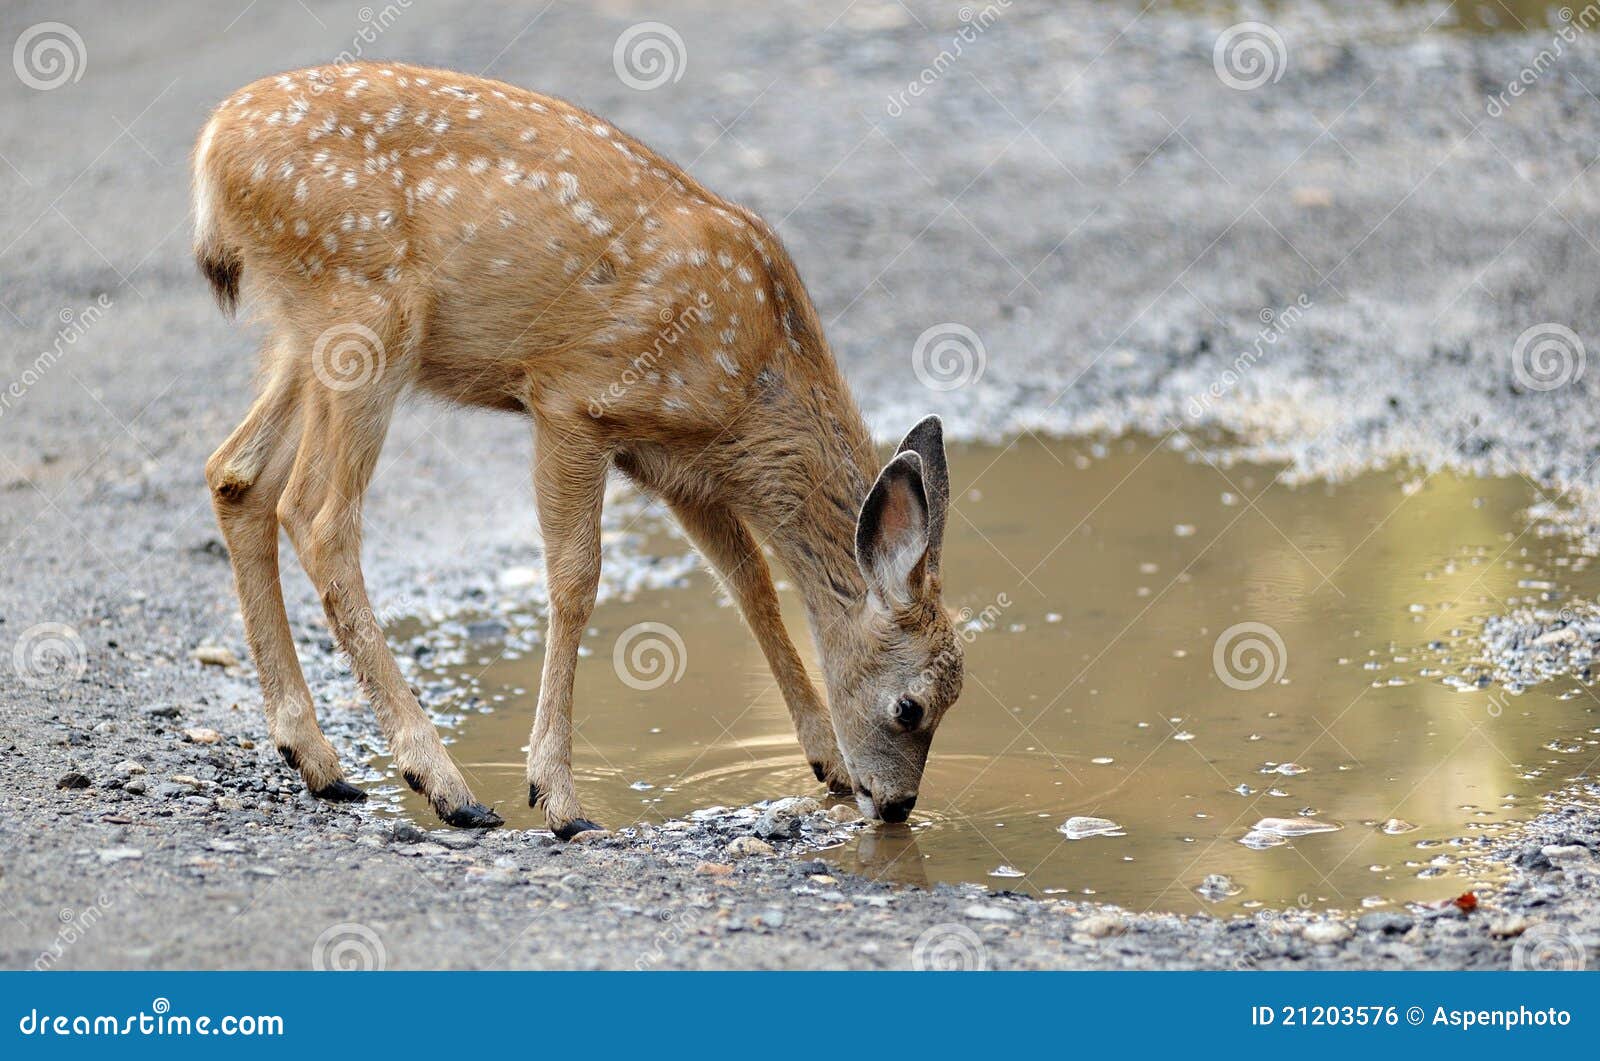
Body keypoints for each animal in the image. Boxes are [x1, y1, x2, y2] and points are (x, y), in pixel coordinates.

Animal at [193, 62, 964, 838]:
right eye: (911, 707)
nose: (897, 806)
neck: (755, 376)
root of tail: (212, 146)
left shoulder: (678, 468)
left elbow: (749, 585)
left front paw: (826, 760)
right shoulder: (575, 399)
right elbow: (576, 580)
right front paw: (559, 799)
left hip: (306, 335)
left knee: (237, 475)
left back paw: (318, 761)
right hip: (365, 317)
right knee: (316, 516)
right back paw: (445, 785)